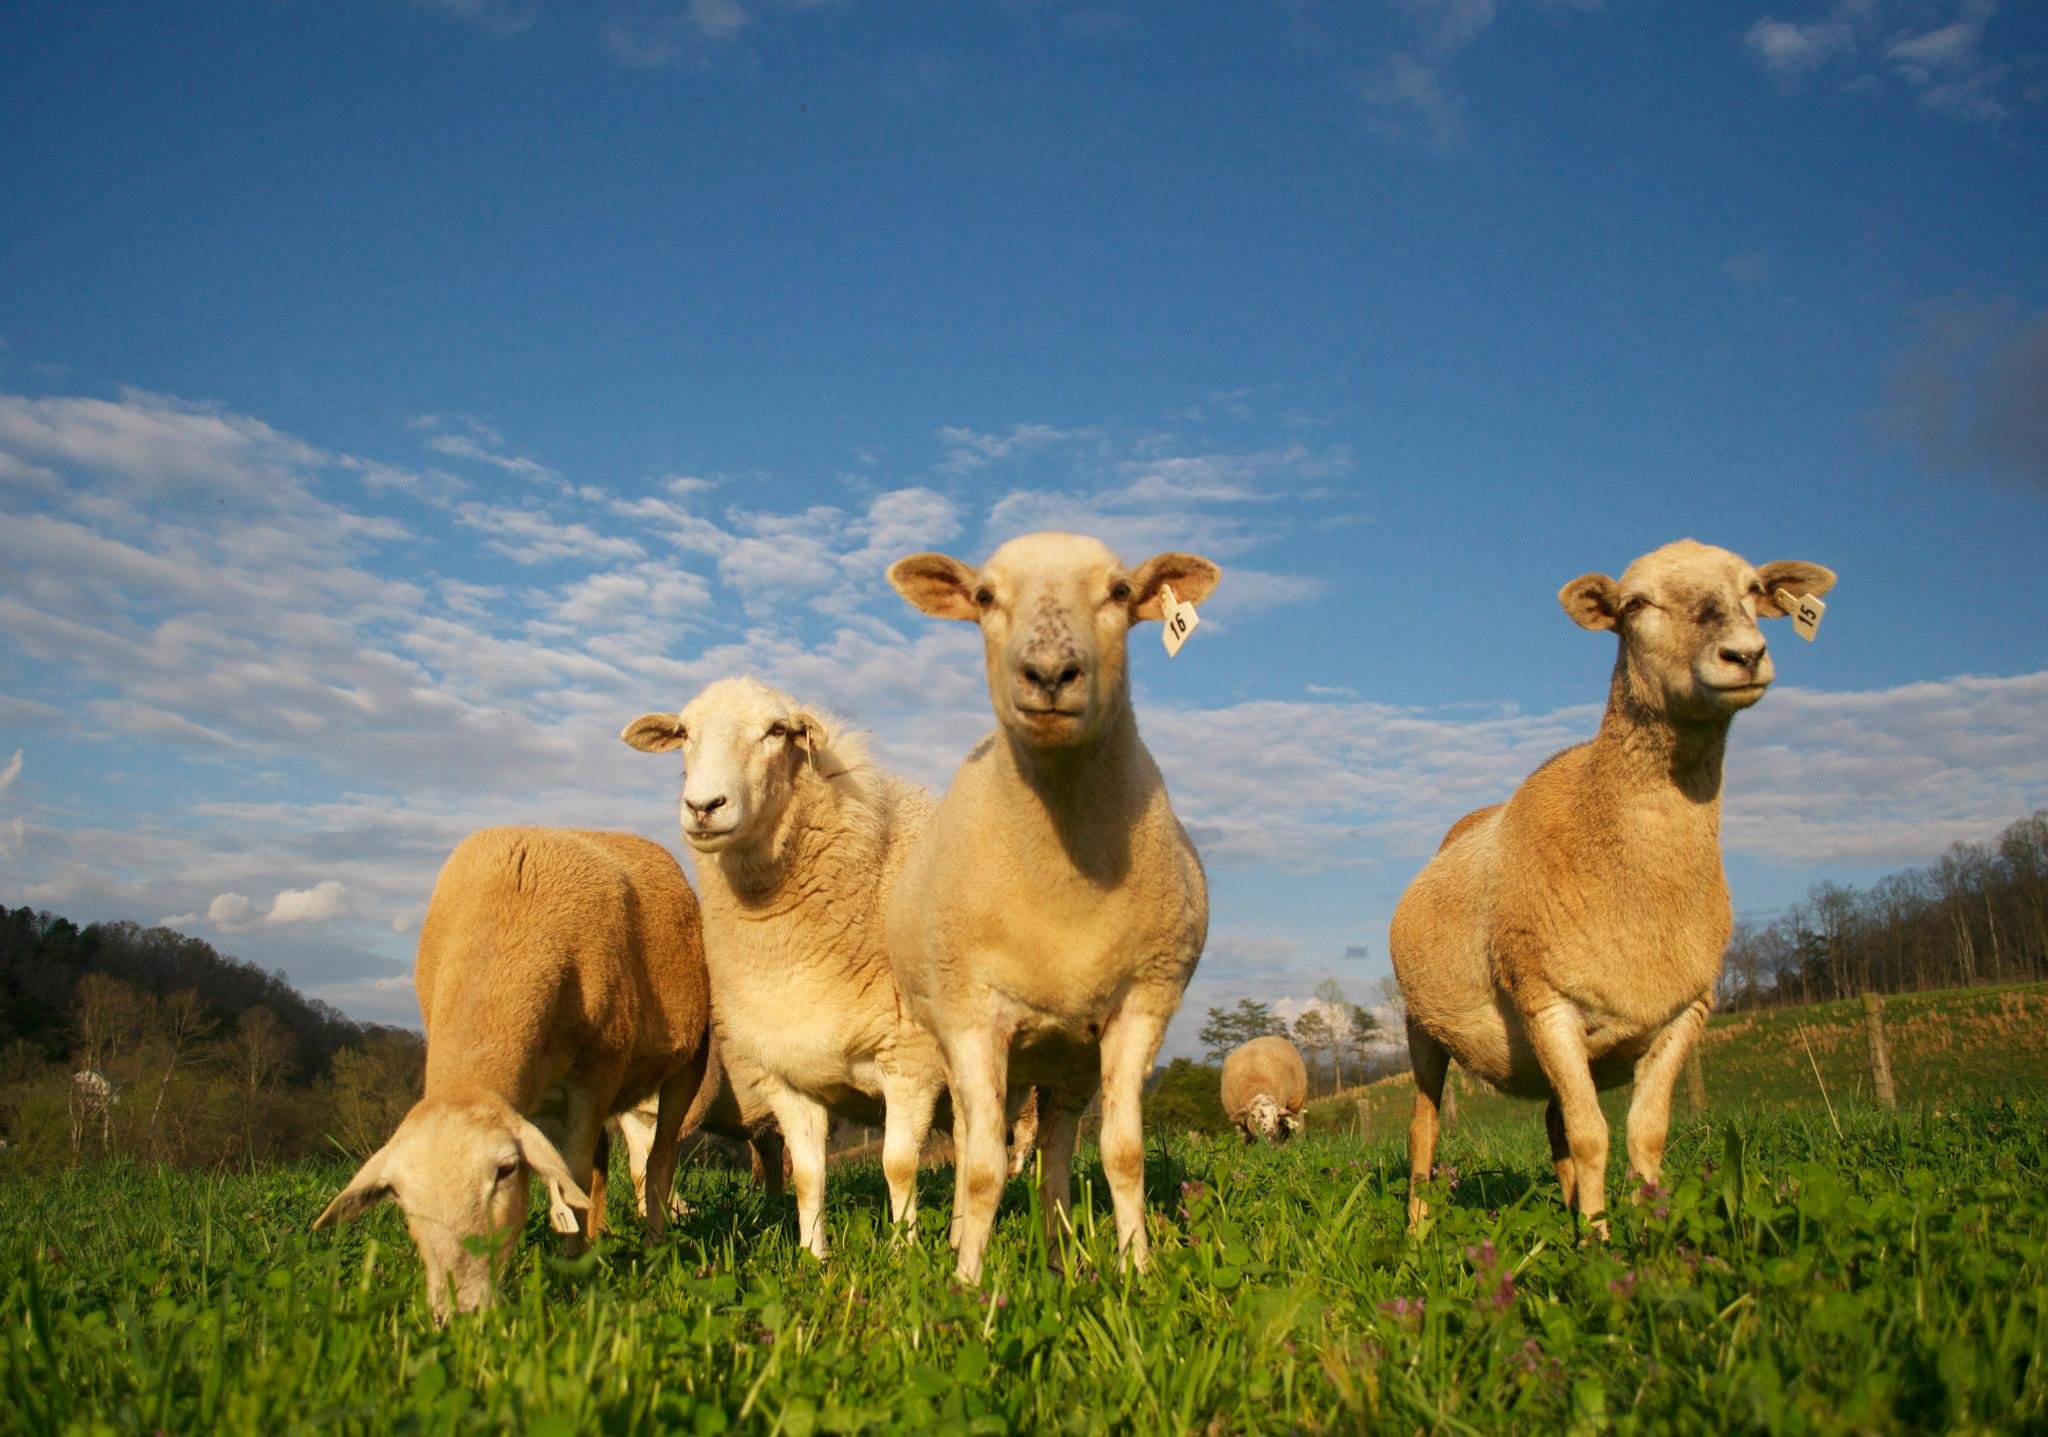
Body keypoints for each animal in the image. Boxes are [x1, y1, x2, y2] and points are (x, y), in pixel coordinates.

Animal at [313, 827, 710, 1320]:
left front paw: (573, 1273)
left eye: (504, 1171)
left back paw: (653, 1245)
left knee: (658, 1160)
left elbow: (573, 1174)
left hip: (688, 1060)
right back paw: (598, 1237)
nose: (460, 1312)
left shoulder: (597, 1074)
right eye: (400, 1197)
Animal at [622, 677, 953, 1258]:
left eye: (778, 730)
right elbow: (807, 1173)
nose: (703, 805)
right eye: (684, 732)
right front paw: (813, 1256)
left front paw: (903, 1255)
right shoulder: (788, 1069)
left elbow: (898, 1164)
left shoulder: (911, 1057)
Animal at [884, 531, 1219, 1282]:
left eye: (1120, 592)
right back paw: (965, 1236)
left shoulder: (1142, 1004)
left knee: (1055, 1146)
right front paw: (966, 1283)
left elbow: (1123, 1155)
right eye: (984, 596)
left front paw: (1138, 1271)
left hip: (1067, 1056)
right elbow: (982, 1169)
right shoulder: (973, 1015)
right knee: (979, 1140)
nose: (1048, 672)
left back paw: (1059, 1247)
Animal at [1389, 540, 1836, 1233]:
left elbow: (1641, 1135)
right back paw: (1417, 1231)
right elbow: (1592, 1135)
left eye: (1754, 589)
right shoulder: (1546, 1001)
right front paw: (1599, 1244)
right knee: (1425, 1129)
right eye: (1637, 604)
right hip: (1423, 1026)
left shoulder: (1685, 1011)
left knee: (1554, 1123)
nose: (1744, 655)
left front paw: (1646, 1237)